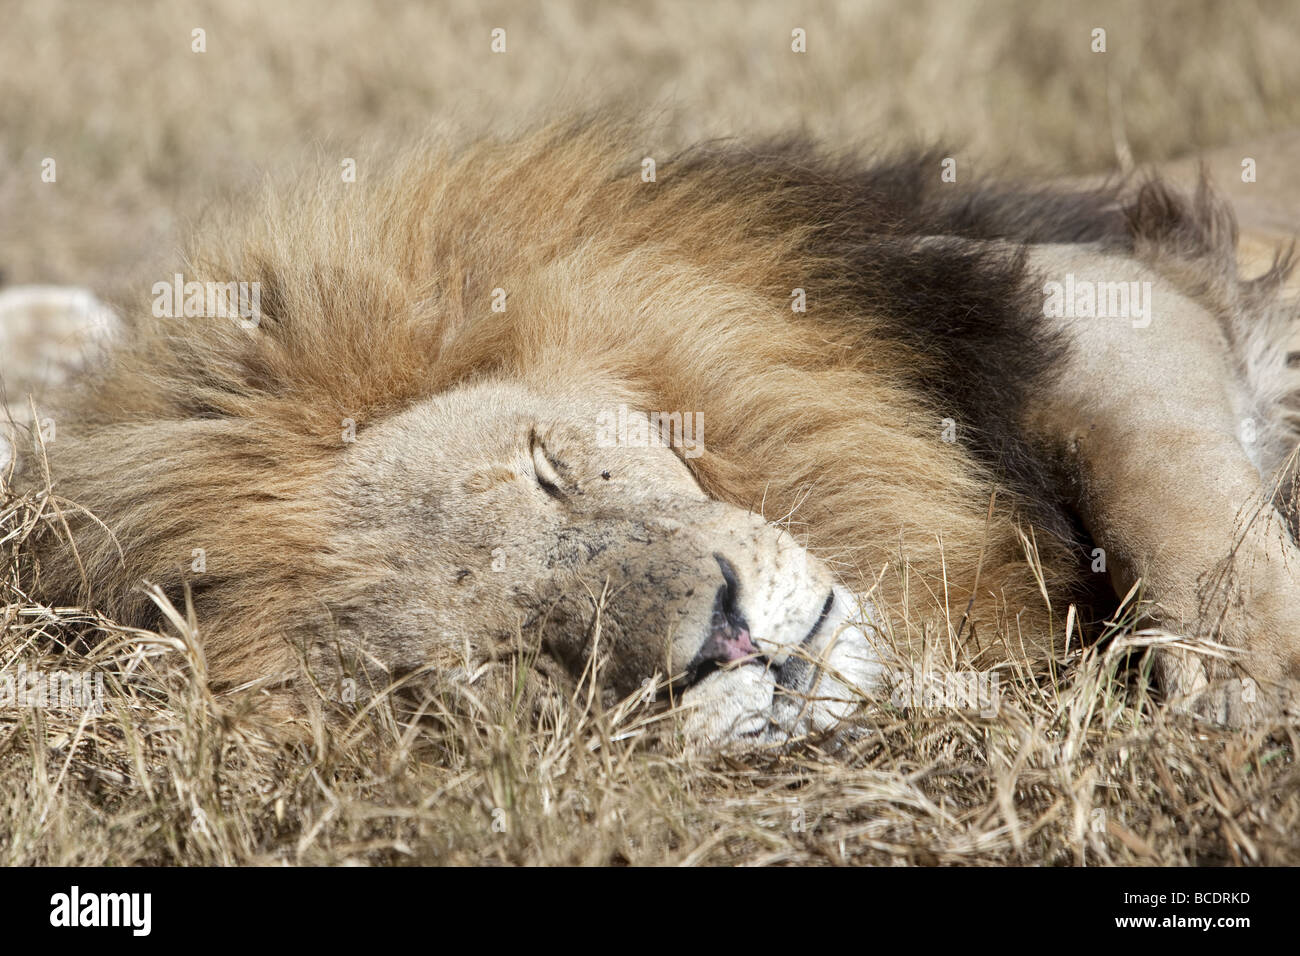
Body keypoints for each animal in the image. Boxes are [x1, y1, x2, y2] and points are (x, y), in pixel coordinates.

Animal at [4, 120, 1300, 747]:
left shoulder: (1097, 283)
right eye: (520, 660)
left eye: (546, 469)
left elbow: (1160, 472)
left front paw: (1252, 668)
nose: (726, 643)